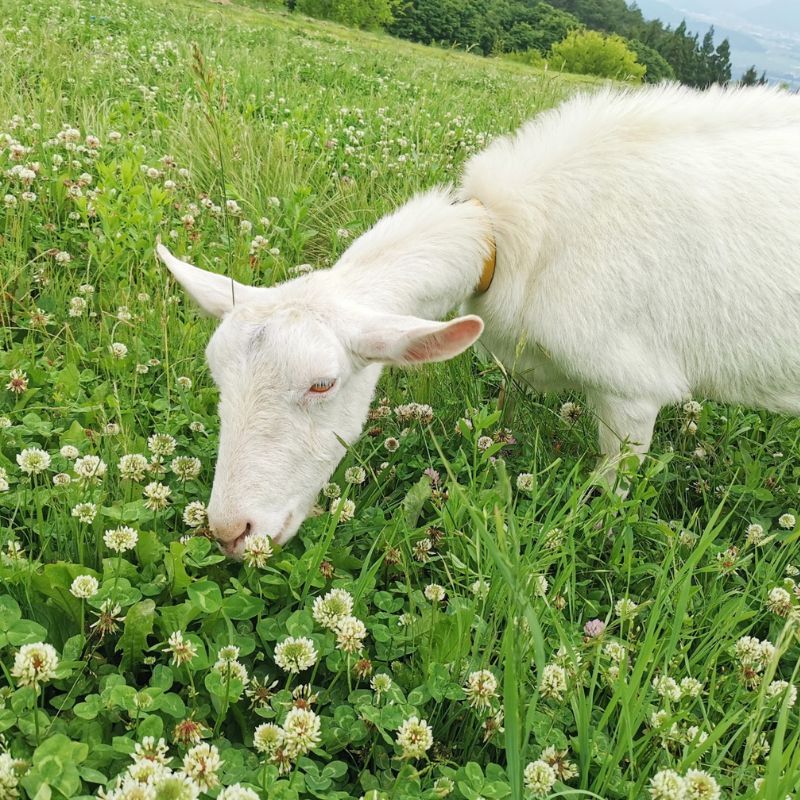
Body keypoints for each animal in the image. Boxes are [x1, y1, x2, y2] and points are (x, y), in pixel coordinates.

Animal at [159, 84, 800, 557]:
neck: (506, 236)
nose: (230, 531)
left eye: (323, 383)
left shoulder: (631, 391)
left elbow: (613, 494)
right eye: (217, 376)